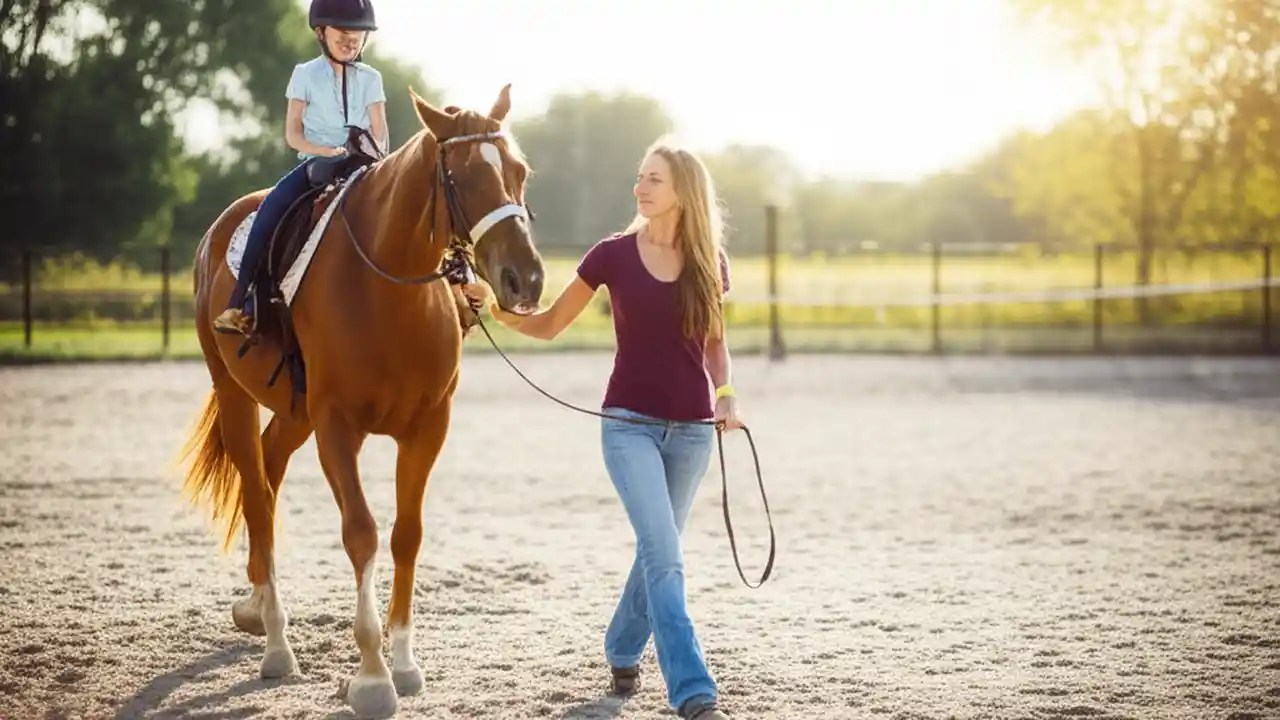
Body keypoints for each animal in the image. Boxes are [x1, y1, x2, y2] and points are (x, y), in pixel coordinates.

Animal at [180, 85, 545, 718]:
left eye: (518, 172)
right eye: (464, 176)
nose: (526, 280)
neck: (387, 288)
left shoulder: (427, 427)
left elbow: (406, 535)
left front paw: (404, 662)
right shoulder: (336, 427)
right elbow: (362, 533)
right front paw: (373, 676)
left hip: (293, 412)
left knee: (269, 475)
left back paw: (256, 606)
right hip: (235, 395)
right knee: (257, 494)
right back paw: (276, 644)